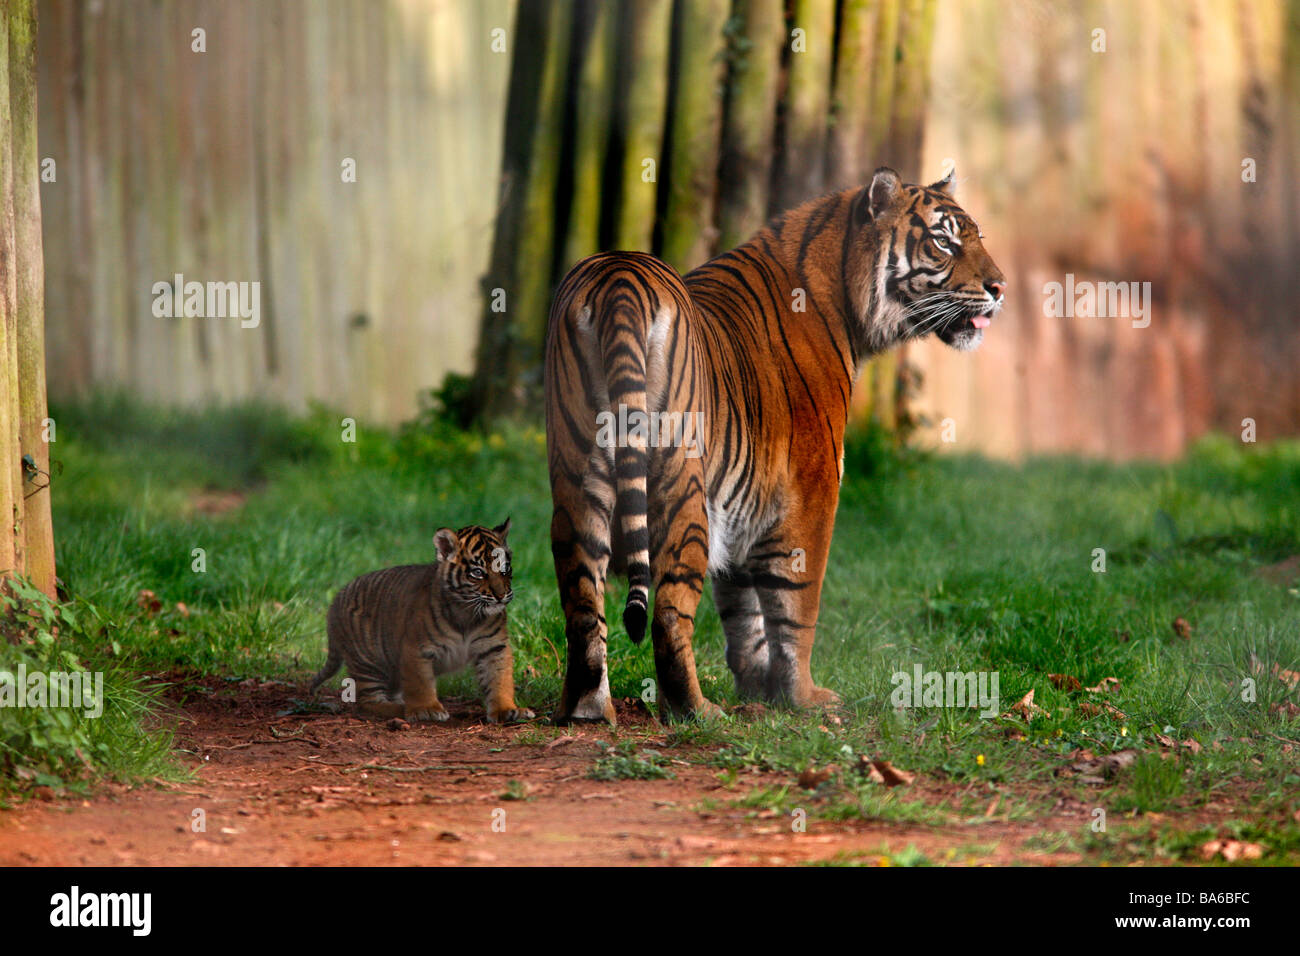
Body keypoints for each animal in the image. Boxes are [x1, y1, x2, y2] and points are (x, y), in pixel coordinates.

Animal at [309, 520, 534, 723]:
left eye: (505, 569)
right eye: (478, 573)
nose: (501, 595)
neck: (467, 613)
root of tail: (335, 601)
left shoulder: (494, 648)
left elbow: (499, 680)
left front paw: (507, 710)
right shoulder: (417, 649)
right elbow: (420, 682)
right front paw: (426, 710)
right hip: (368, 662)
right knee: (367, 701)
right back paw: (400, 709)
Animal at [544, 167, 1006, 724]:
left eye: (977, 236)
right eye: (943, 241)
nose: (999, 287)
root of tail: (620, 273)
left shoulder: (744, 502)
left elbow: (743, 609)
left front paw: (759, 687)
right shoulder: (811, 491)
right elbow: (796, 605)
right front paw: (803, 696)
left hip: (578, 486)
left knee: (583, 607)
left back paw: (587, 708)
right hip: (680, 488)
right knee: (669, 613)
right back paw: (696, 710)